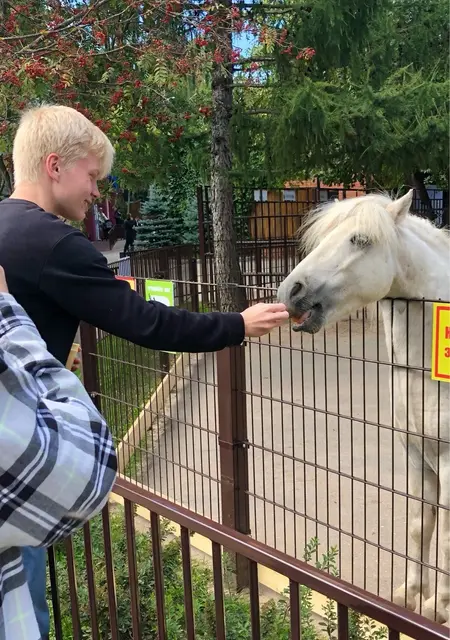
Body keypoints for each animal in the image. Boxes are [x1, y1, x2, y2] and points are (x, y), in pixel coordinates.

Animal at [277, 190, 450, 623]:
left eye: (361, 240)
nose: (290, 292)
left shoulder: (449, 463)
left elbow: (446, 537)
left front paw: (439, 607)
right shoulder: (417, 456)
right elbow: (421, 526)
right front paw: (412, 594)